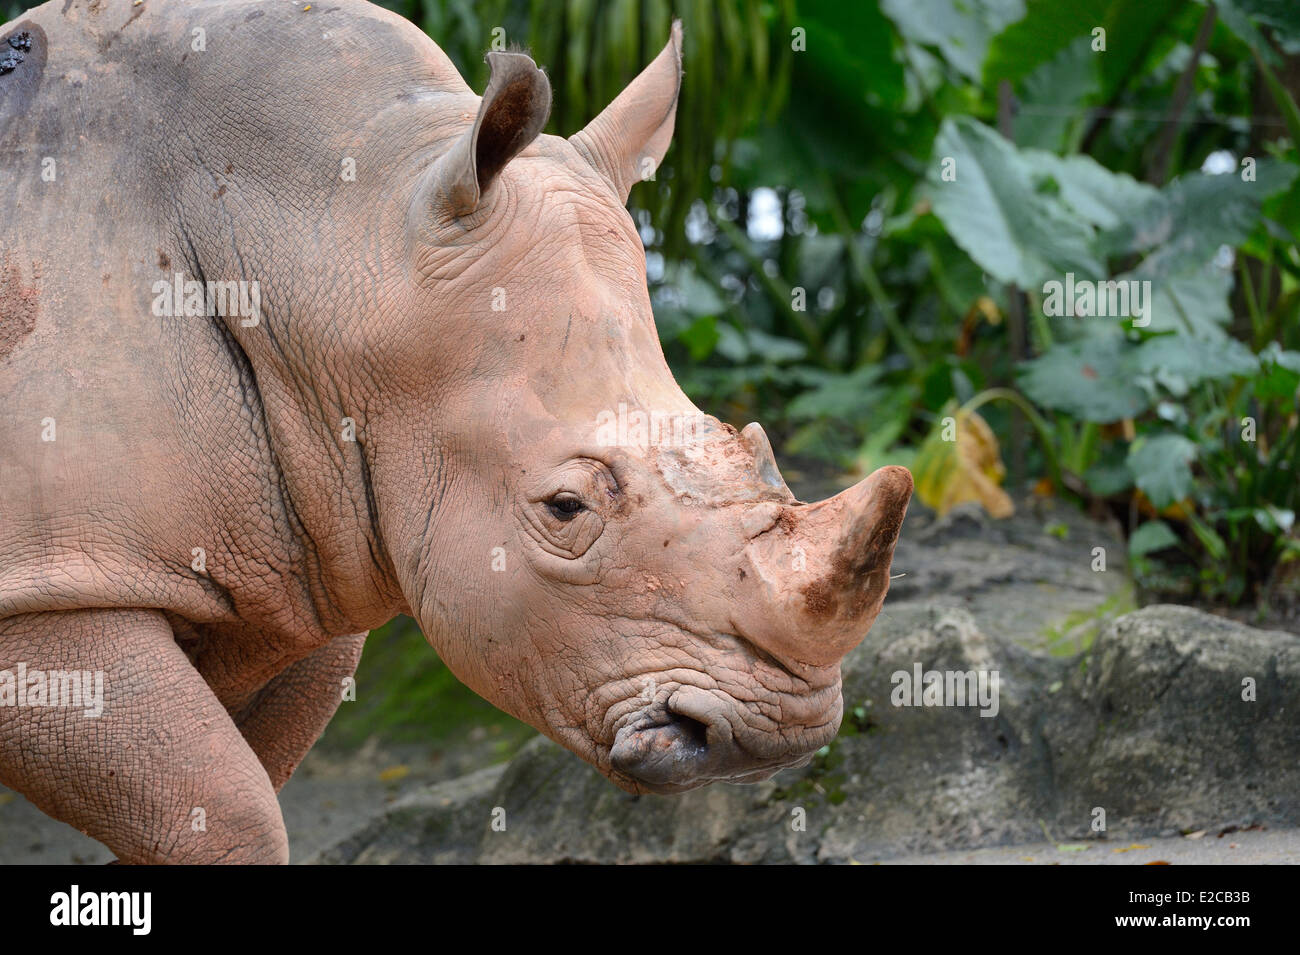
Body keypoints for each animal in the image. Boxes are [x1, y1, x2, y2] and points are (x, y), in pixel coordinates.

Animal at [0, 0, 912, 863]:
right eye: (566, 509)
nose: (777, 731)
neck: (326, 235)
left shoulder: (296, 558)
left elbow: (231, 786)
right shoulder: (52, 586)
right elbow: (226, 814)